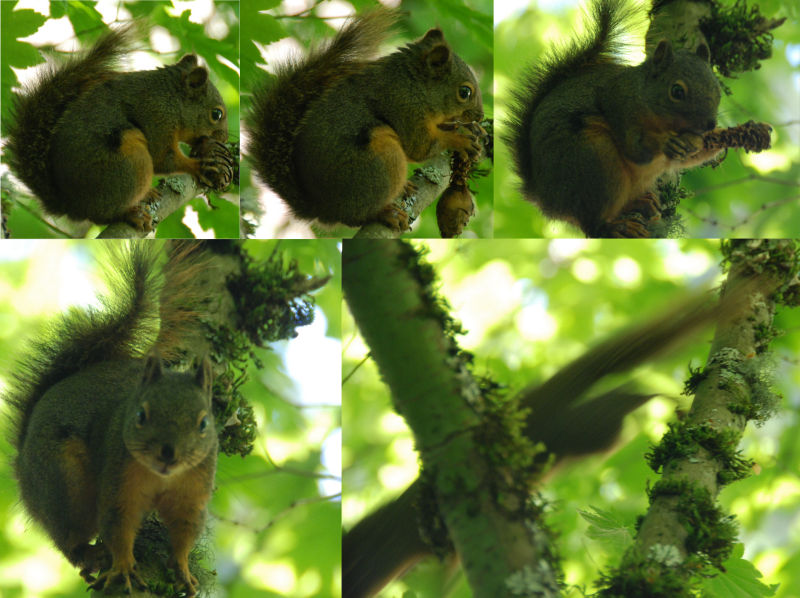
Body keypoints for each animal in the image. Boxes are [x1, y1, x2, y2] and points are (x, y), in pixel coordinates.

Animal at [5, 24, 233, 233]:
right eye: (216, 114)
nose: (224, 138)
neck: (171, 99)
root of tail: (73, 206)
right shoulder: (156, 117)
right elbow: (163, 158)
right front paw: (199, 166)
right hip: (130, 165)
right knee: (104, 215)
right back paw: (131, 214)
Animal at [5, 242, 216, 596]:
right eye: (140, 415)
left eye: (203, 423)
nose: (168, 454)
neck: (161, 476)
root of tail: (21, 463)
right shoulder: (118, 482)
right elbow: (118, 525)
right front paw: (122, 567)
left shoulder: (194, 491)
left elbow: (185, 531)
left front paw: (184, 570)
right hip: (64, 481)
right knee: (68, 536)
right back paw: (89, 553)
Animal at [246, 9, 484, 232]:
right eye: (464, 92)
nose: (481, 116)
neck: (414, 83)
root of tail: (323, 209)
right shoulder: (403, 106)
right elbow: (420, 146)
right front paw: (460, 139)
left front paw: (471, 130)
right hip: (379, 162)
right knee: (358, 216)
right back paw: (385, 214)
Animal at [506, 0, 722, 238]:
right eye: (676, 91)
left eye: (717, 89)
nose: (709, 124)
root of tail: (548, 201)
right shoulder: (620, 107)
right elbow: (635, 149)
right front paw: (666, 142)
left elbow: (689, 158)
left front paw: (718, 137)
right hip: (596, 162)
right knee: (592, 226)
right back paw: (617, 227)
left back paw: (641, 204)